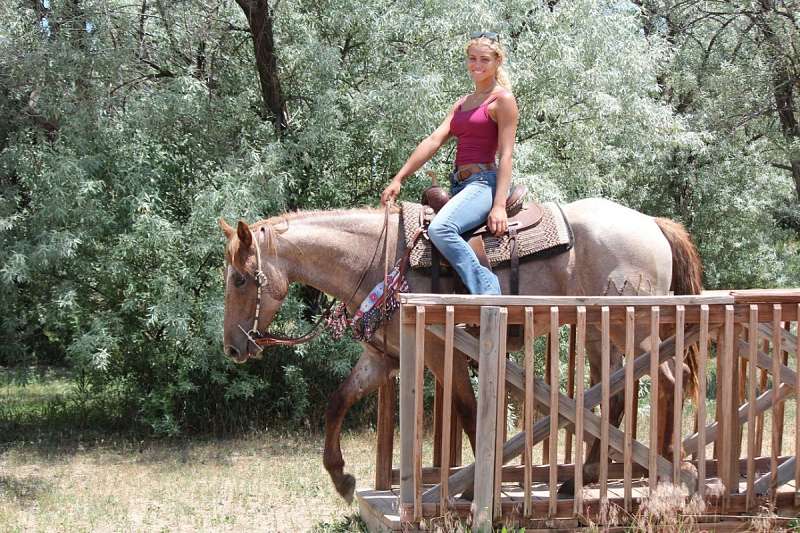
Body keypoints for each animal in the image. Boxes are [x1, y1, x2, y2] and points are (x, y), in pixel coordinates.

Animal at [219, 197, 702, 503]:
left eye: (240, 279)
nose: (232, 347)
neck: (378, 259)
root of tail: (652, 224)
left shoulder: (438, 351)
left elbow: (469, 411)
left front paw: (471, 489)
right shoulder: (382, 357)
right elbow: (338, 401)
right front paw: (341, 477)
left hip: (638, 327)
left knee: (669, 378)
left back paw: (671, 473)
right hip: (602, 333)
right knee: (616, 395)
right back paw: (579, 480)